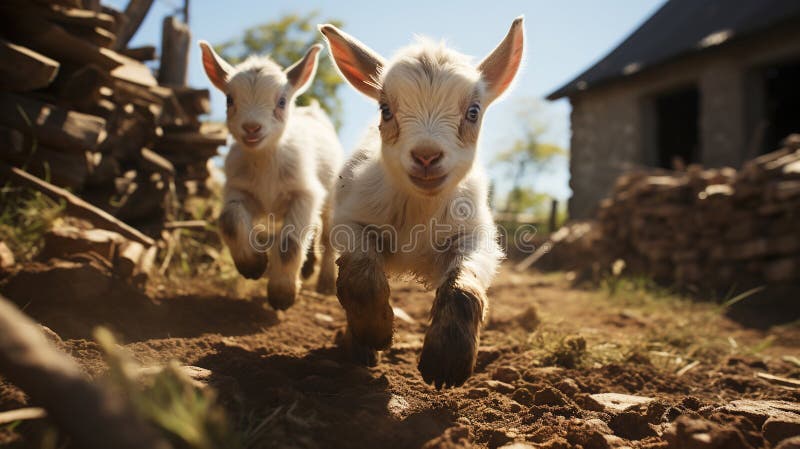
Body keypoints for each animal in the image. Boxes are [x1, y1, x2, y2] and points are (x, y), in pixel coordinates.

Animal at [199, 41, 343, 310]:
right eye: (229, 99)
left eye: (282, 101)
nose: (252, 128)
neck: (265, 160)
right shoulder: (238, 188)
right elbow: (229, 220)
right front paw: (253, 264)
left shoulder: (304, 193)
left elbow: (290, 245)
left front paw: (282, 293)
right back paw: (308, 268)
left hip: (331, 196)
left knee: (329, 234)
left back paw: (326, 282)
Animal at [320, 17, 524, 388]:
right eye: (386, 109)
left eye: (473, 112)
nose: (426, 156)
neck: (419, 209)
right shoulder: (352, 222)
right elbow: (361, 279)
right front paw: (374, 332)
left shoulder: (474, 235)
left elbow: (463, 287)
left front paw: (446, 362)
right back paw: (360, 350)